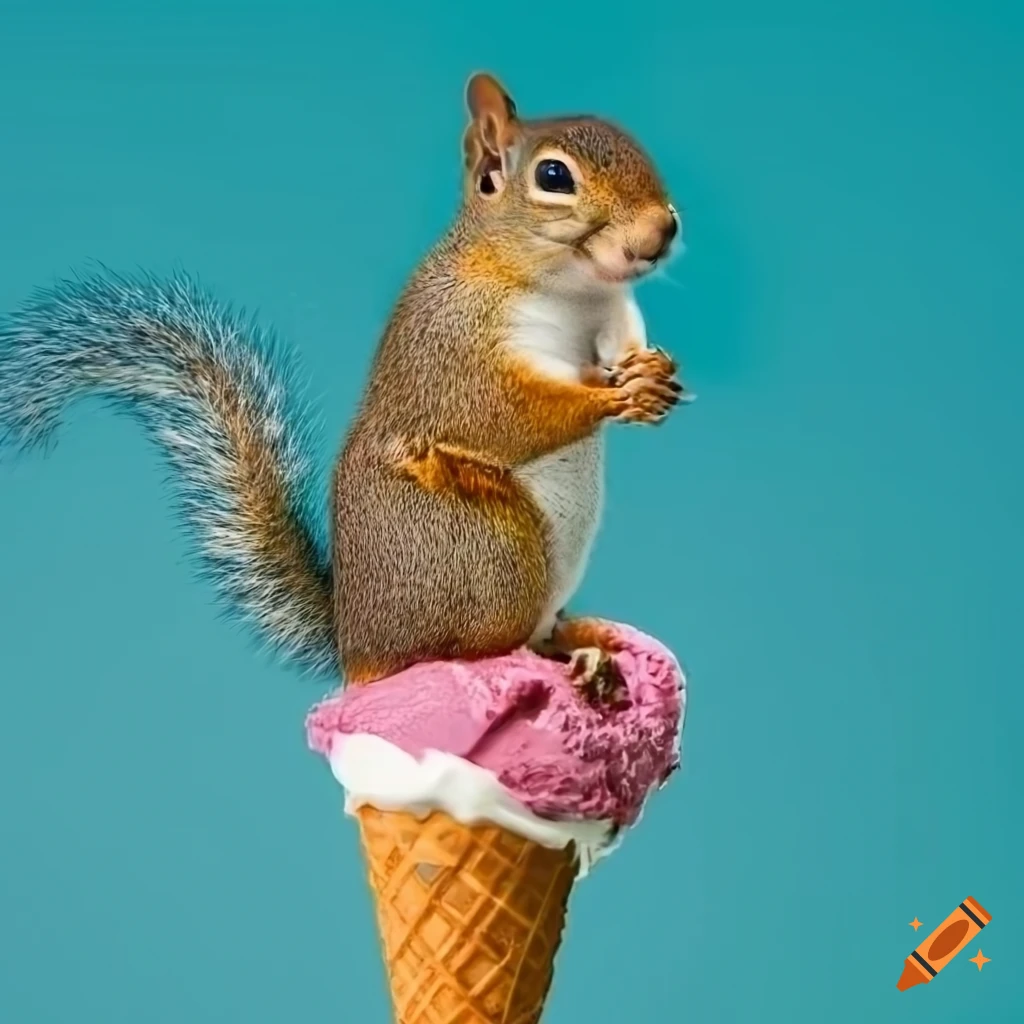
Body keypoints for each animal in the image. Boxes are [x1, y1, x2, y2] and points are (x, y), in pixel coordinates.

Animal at [0, 72, 689, 695]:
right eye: (553, 177)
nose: (663, 231)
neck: (572, 289)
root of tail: (357, 647)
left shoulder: (611, 315)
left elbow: (623, 342)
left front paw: (652, 373)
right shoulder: (454, 351)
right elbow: (503, 413)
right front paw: (610, 397)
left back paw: (586, 643)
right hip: (485, 550)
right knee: (476, 641)